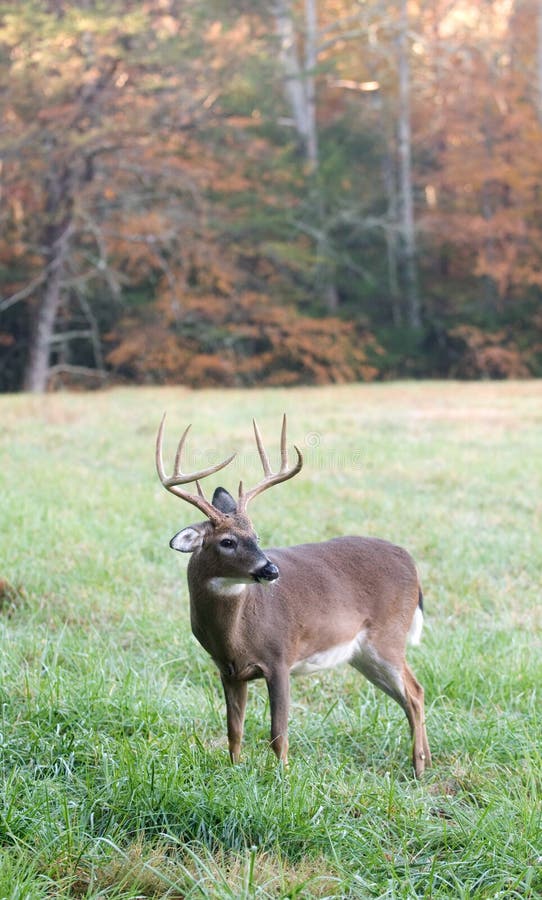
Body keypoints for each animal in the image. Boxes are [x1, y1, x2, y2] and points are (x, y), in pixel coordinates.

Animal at [155, 415, 431, 777]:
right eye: (227, 541)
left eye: (256, 536)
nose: (270, 570)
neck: (236, 633)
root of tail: (411, 561)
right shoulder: (228, 671)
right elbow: (234, 729)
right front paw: (234, 770)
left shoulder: (280, 657)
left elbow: (278, 732)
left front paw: (282, 779)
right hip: (362, 653)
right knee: (413, 694)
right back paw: (425, 763)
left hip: (388, 637)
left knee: (414, 691)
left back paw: (419, 768)